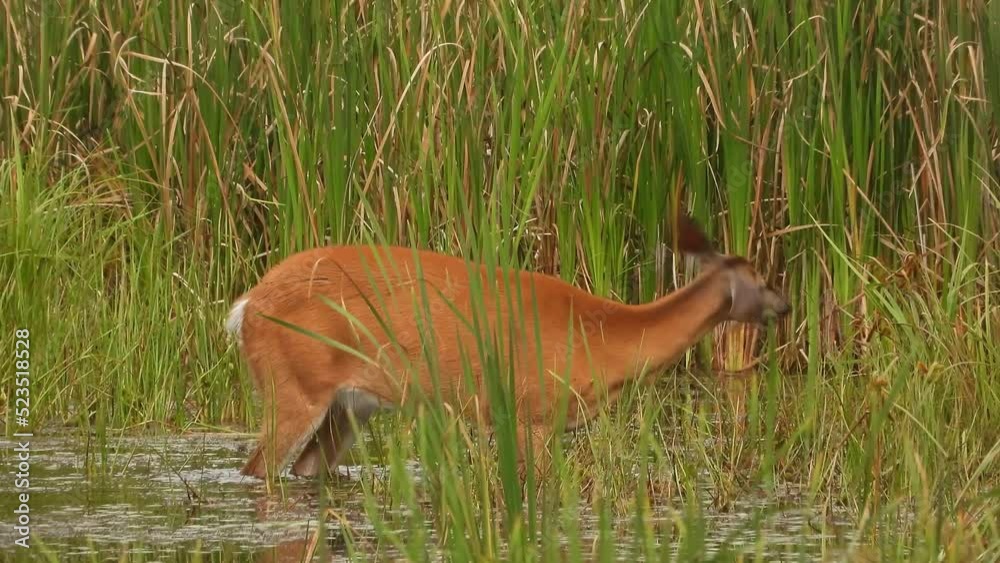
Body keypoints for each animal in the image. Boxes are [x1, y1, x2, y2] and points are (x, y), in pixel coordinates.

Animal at [225, 214, 789, 482]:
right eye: (761, 278)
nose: (785, 306)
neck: (602, 337)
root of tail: (247, 305)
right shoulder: (529, 412)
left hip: (348, 404)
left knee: (305, 468)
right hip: (291, 383)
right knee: (257, 469)